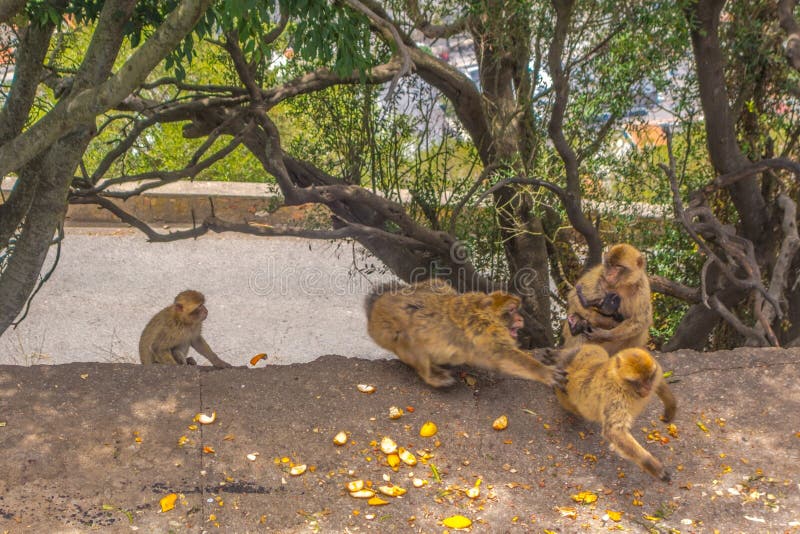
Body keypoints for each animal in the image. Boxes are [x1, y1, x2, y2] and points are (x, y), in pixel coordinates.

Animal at [365, 280, 566, 389]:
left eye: (517, 310)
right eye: (511, 310)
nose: (520, 319)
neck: (486, 314)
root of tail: (374, 311)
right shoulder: (484, 332)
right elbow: (502, 356)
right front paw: (544, 372)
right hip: (392, 334)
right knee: (413, 342)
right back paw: (431, 375)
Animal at [540, 344, 676, 482]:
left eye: (648, 378)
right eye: (638, 382)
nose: (647, 388)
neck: (623, 383)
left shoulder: (655, 373)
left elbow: (660, 383)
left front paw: (670, 406)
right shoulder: (615, 396)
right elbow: (614, 431)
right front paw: (654, 467)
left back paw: (559, 357)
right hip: (565, 398)